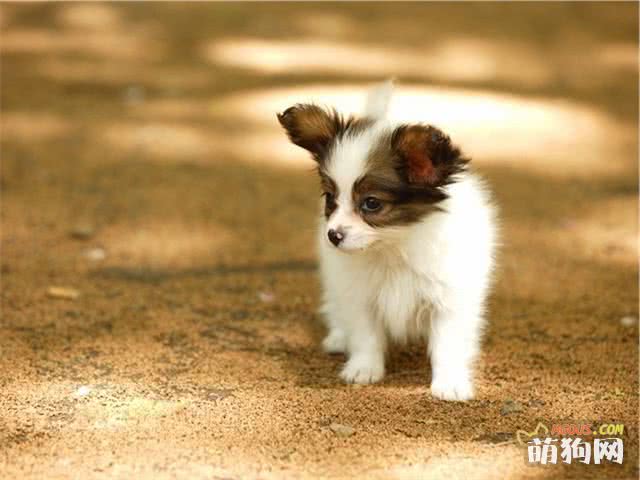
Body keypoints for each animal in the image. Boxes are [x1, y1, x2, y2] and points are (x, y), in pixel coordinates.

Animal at [278, 83, 498, 402]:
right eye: (330, 198)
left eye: (371, 203)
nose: (333, 235)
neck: (393, 247)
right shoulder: (359, 296)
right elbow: (365, 335)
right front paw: (363, 369)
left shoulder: (449, 300)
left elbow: (448, 344)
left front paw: (450, 383)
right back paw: (338, 337)